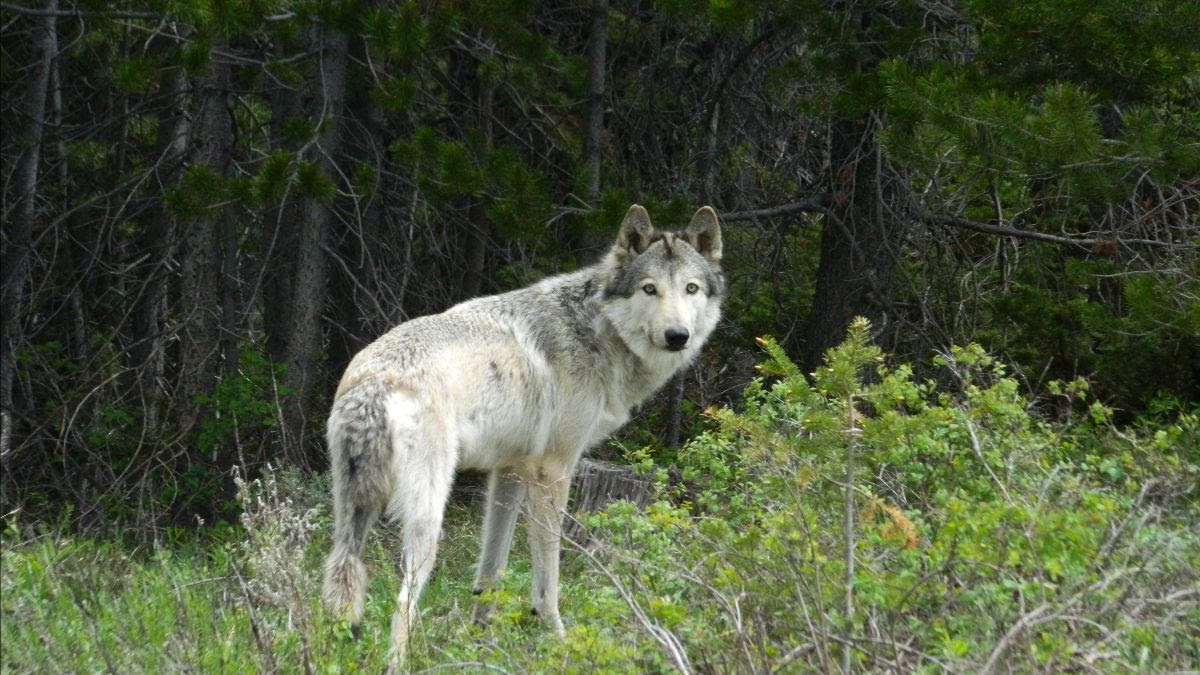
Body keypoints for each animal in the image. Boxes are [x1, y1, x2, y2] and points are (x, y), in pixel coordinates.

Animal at [321, 204, 724, 665]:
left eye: (691, 288)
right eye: (649, 289)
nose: (677, 336)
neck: (597, 331)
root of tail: (374, 381)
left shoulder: (510, 471)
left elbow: (490, 569)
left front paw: (480, 641)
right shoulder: (553, 471)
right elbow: (547, 581)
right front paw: (560, 643)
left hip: (351, 513)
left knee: (339, 581)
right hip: (428, 520)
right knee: (402, 604)